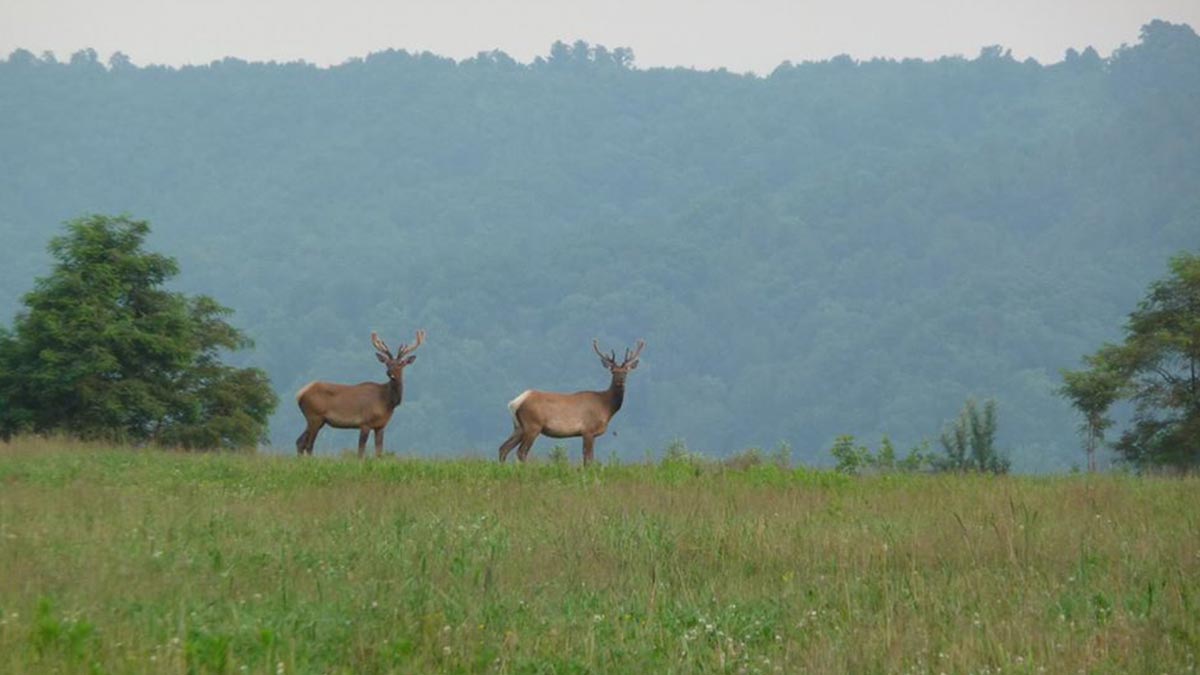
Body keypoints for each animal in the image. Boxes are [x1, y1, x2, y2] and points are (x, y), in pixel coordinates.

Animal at [295, 330, 425, 458]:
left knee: (300, 441)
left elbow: (379, 452)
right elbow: (360, 451)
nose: (389, 373)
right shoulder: (365, 422)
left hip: (317, 420)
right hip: (314, 416)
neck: (387, 402)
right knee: (309, 444)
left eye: (401, 363)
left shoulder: (380, 426)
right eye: (387, 363)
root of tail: (300, 394)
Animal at [498, 339, 645, 466]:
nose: (620, 381)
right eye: (613, 371)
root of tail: (515, 403)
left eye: (626, 372)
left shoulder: (591, 434)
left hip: (519, 426)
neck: (606, 408)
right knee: (521, 451)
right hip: (532, 425)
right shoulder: (588, 430)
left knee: (503, 447)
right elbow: (588, 459)